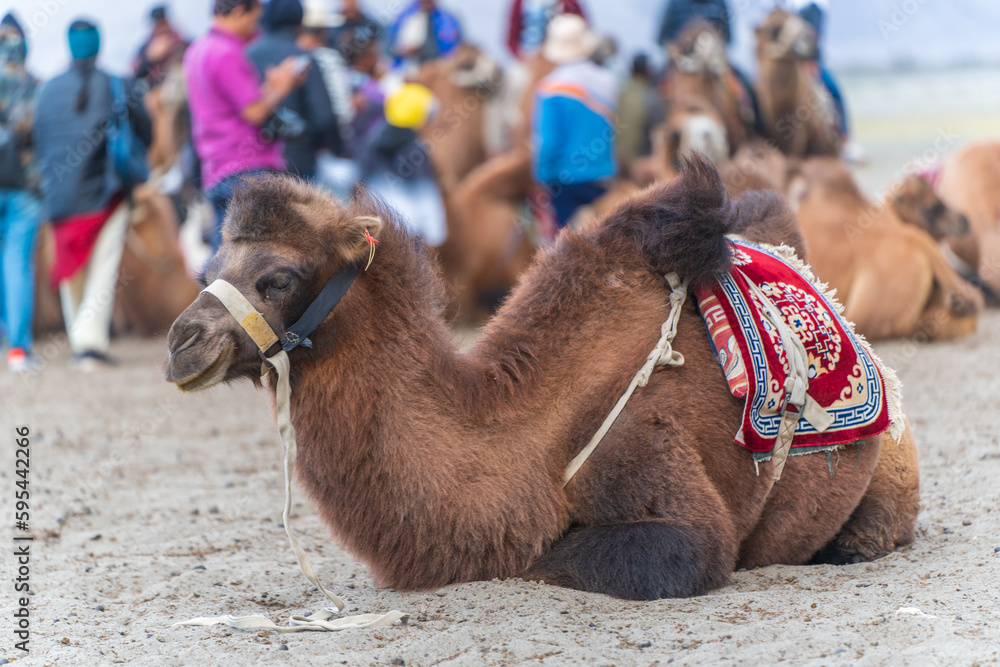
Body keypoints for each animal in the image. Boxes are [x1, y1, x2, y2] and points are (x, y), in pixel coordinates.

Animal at [164, 157, 919, 600]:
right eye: (210, 269)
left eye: (278, 277)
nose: (181, 342)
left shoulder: (648, 467)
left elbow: (568, 554)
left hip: (891, 472)